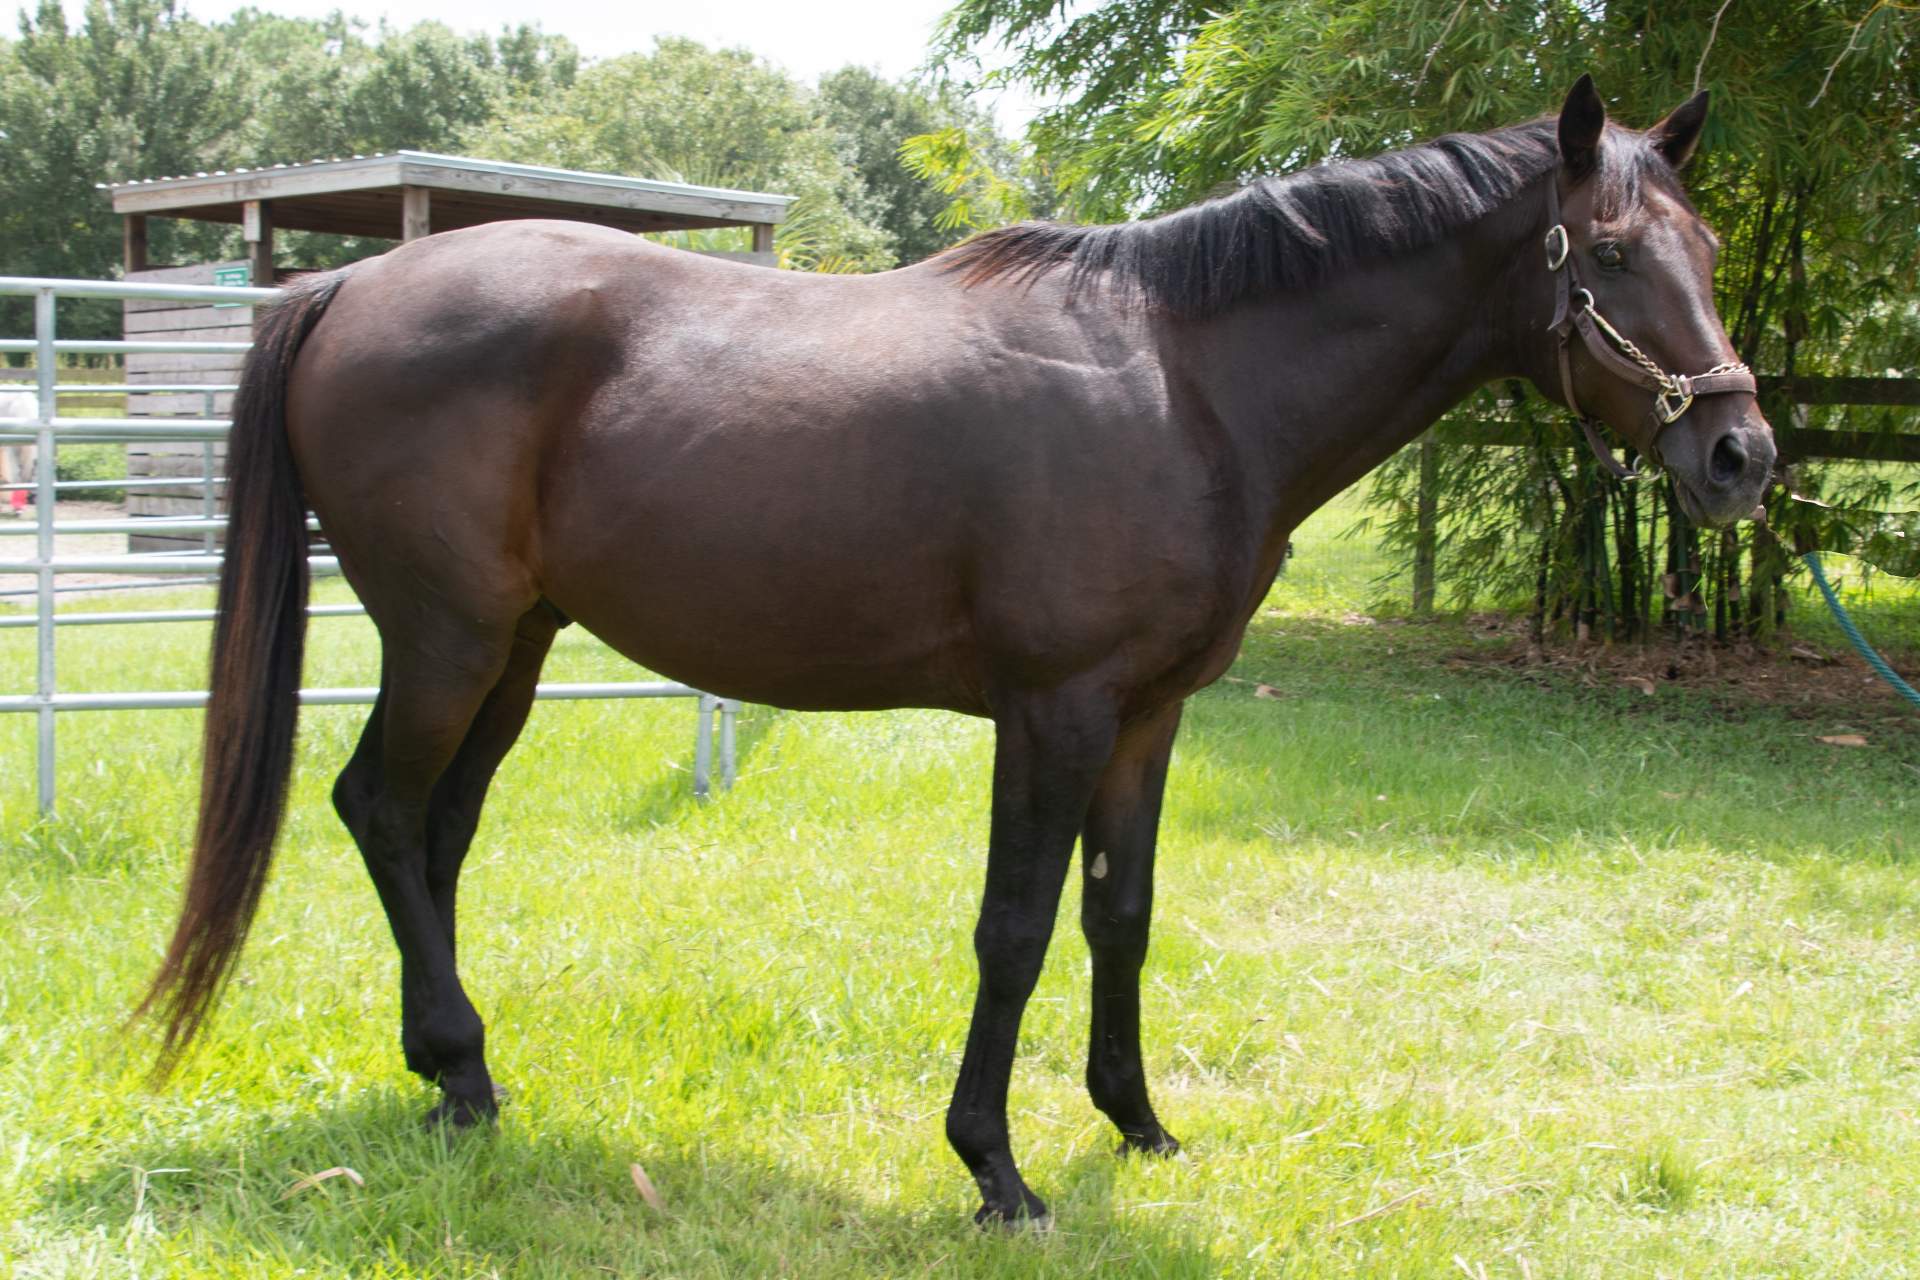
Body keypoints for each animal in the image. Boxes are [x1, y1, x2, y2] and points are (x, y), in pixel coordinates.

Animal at [140, 76, 1775, 1226]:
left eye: (1705, 243)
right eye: (1610, 252)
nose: (1741, 453)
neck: (1191, 380)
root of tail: (347, 286)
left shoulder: (1146, 718)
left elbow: (1123, 916)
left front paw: (1138, 1122)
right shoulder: (1052, 713)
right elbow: (1017, 930)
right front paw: (995, 1170)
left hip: (518, 649)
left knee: (435, 835)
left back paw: (459, 1085)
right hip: (449, 638)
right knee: (377, 808)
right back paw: (459, 1068)